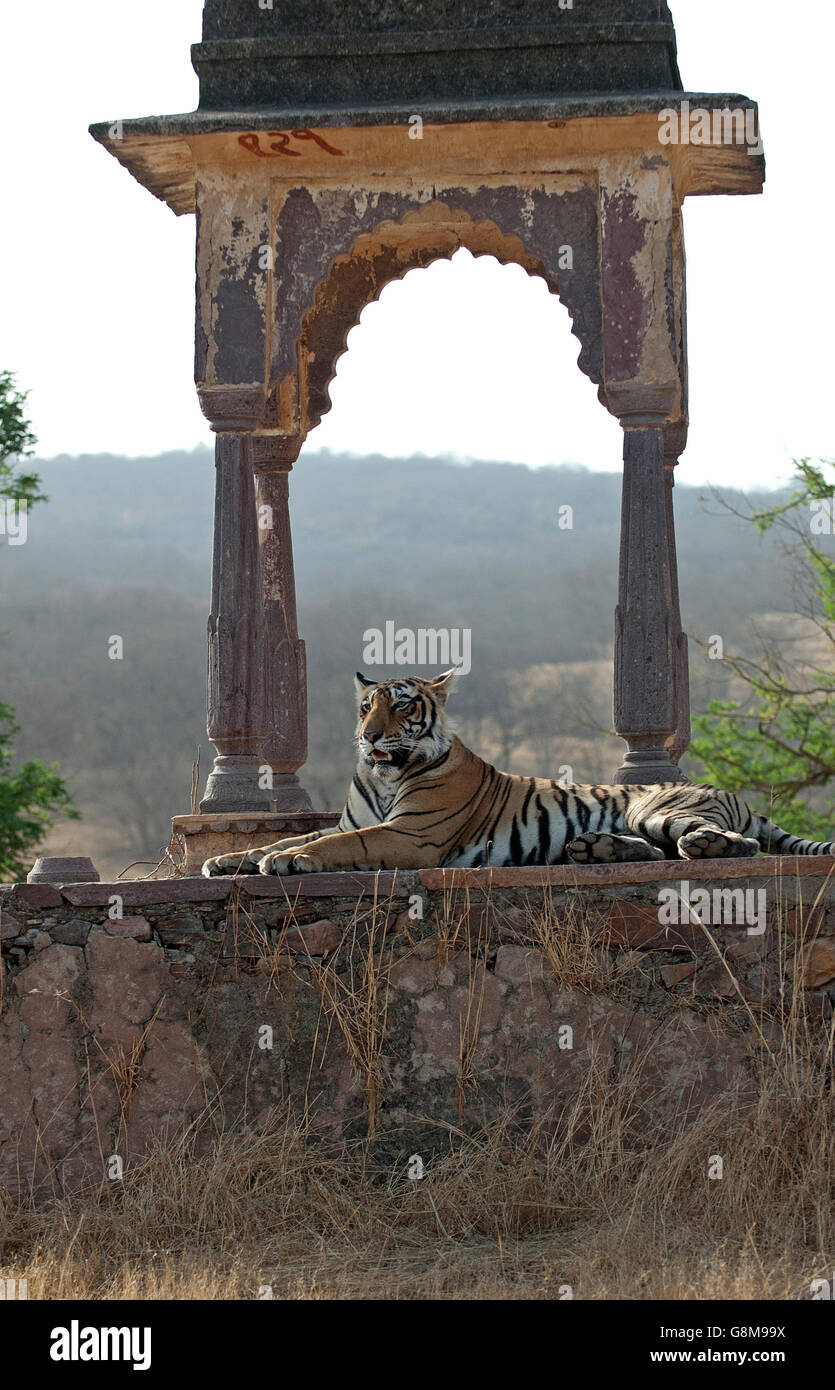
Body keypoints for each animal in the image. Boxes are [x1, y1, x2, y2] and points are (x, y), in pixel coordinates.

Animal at [201, 668, 835, 877]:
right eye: (366, 707)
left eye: (401, 706)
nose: (371, 736)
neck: (387, 773)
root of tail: (734, 796)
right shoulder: (343, 822)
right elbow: (287, 835)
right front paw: (230, 860)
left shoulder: (411, 834)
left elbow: (336, 845)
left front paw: (284, 861)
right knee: (658, 851)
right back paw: (597, 850)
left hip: (656, 807)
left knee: (735, 844)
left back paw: (706, 848)